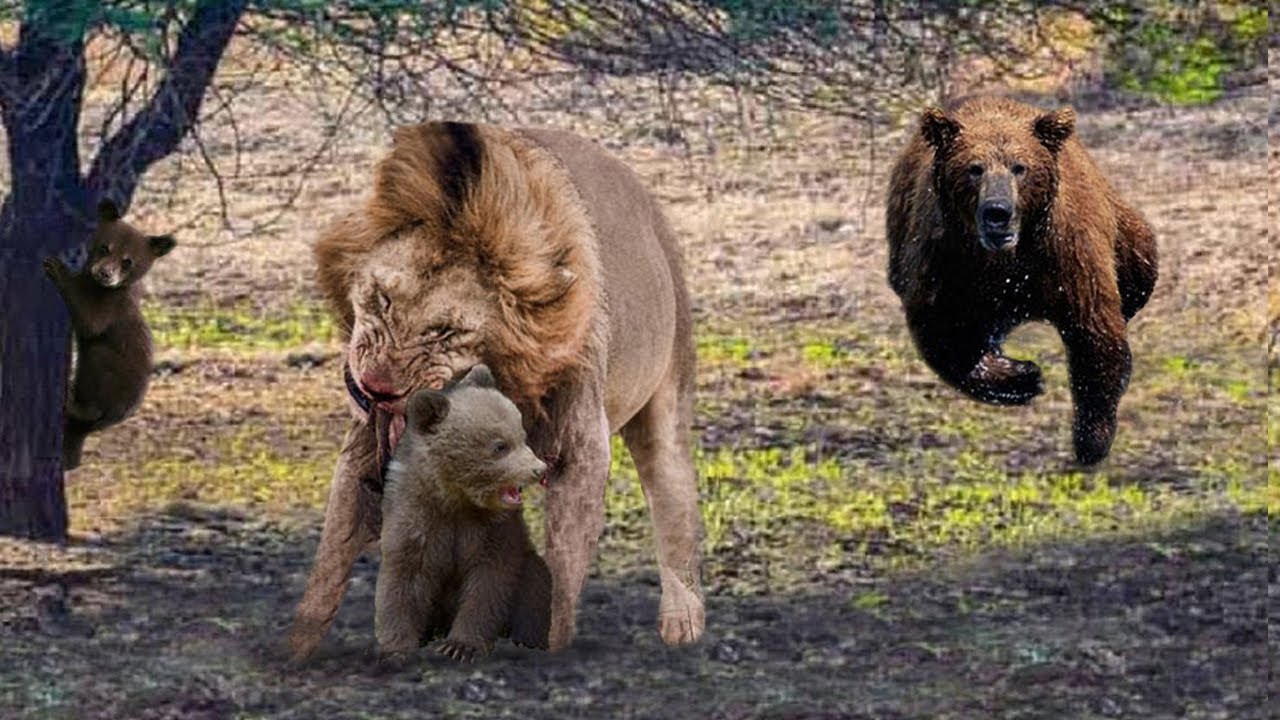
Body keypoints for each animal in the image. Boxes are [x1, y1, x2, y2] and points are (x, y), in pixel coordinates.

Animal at [42, 200, 176, 469]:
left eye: (128, 261)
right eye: (105, 248)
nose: (105, 273)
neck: (101, 287)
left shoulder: (113, 306)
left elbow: (90, 320)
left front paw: (57, 267)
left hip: (110, 378)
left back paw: (73, 402)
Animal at [375, 365, 552, 662]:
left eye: (522, 435)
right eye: (500, 445)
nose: (539, 468)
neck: (457, 500)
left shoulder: (493, 530)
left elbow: (489, 582)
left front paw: (460, 646)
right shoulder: (416, 520)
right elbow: (404, 580)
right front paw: (398, 647)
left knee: (536, 588)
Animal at [885, 96, 1157, 465]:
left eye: (1020, 167)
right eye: (974, 168)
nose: (997, 212)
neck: (1006, 259)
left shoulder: (1066, 252)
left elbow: (1093, 330)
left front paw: (1091, 440)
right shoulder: (944, 258)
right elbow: (943, 332)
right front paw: (1023, 375)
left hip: (1125, 234)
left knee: (1140, 265)